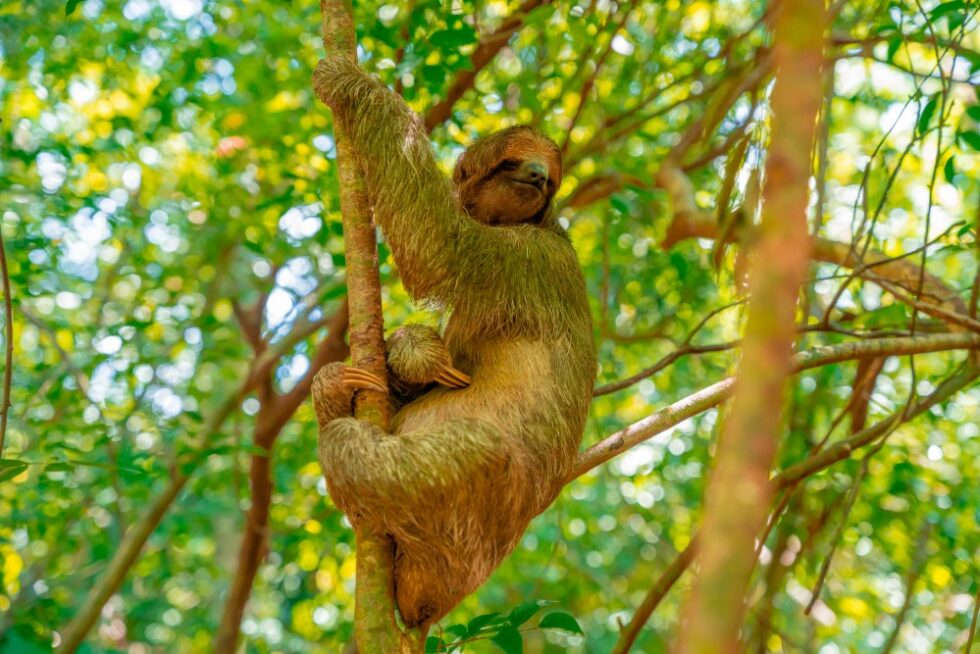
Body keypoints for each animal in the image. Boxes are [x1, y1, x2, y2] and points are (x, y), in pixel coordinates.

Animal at [310, 54, 597, 629]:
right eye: (513, 163)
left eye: (548, 176)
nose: (536, 175)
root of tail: (433, 598)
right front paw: (412, 351)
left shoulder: (520, 260)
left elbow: (440, 244)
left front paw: (355, 85)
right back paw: (330, 386)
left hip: (472, 487)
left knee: (372, 453)